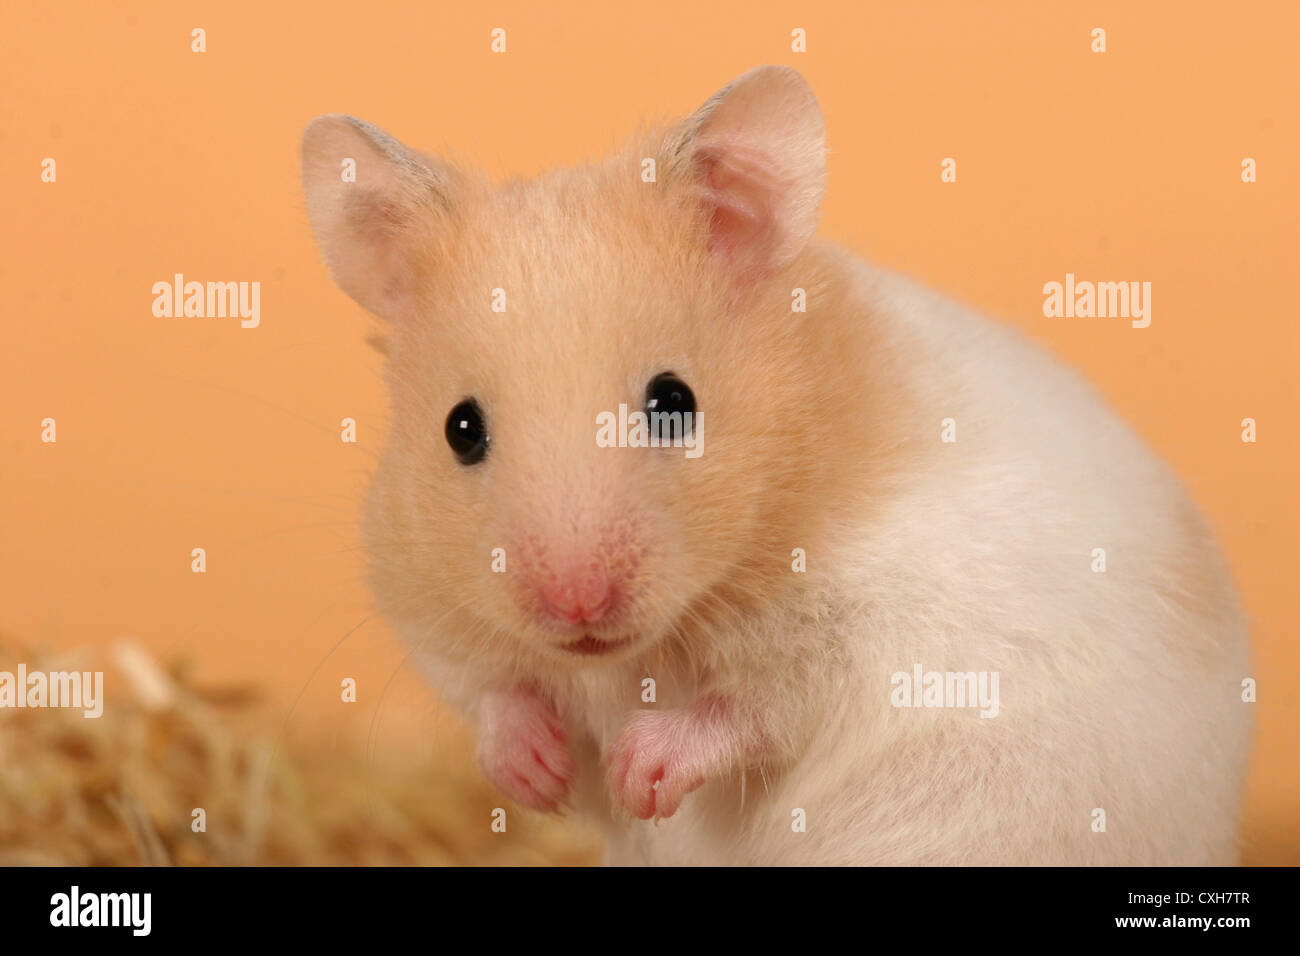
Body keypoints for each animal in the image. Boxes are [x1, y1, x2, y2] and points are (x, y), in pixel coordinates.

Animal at [300, 66, 1252, 864]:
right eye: (461, 429)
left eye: (675, 402)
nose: (576, 606)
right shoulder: (427, 604)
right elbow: (493, 691)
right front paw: (542, 774)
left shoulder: (855, 632)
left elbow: (749, 710)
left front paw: (638, 775)